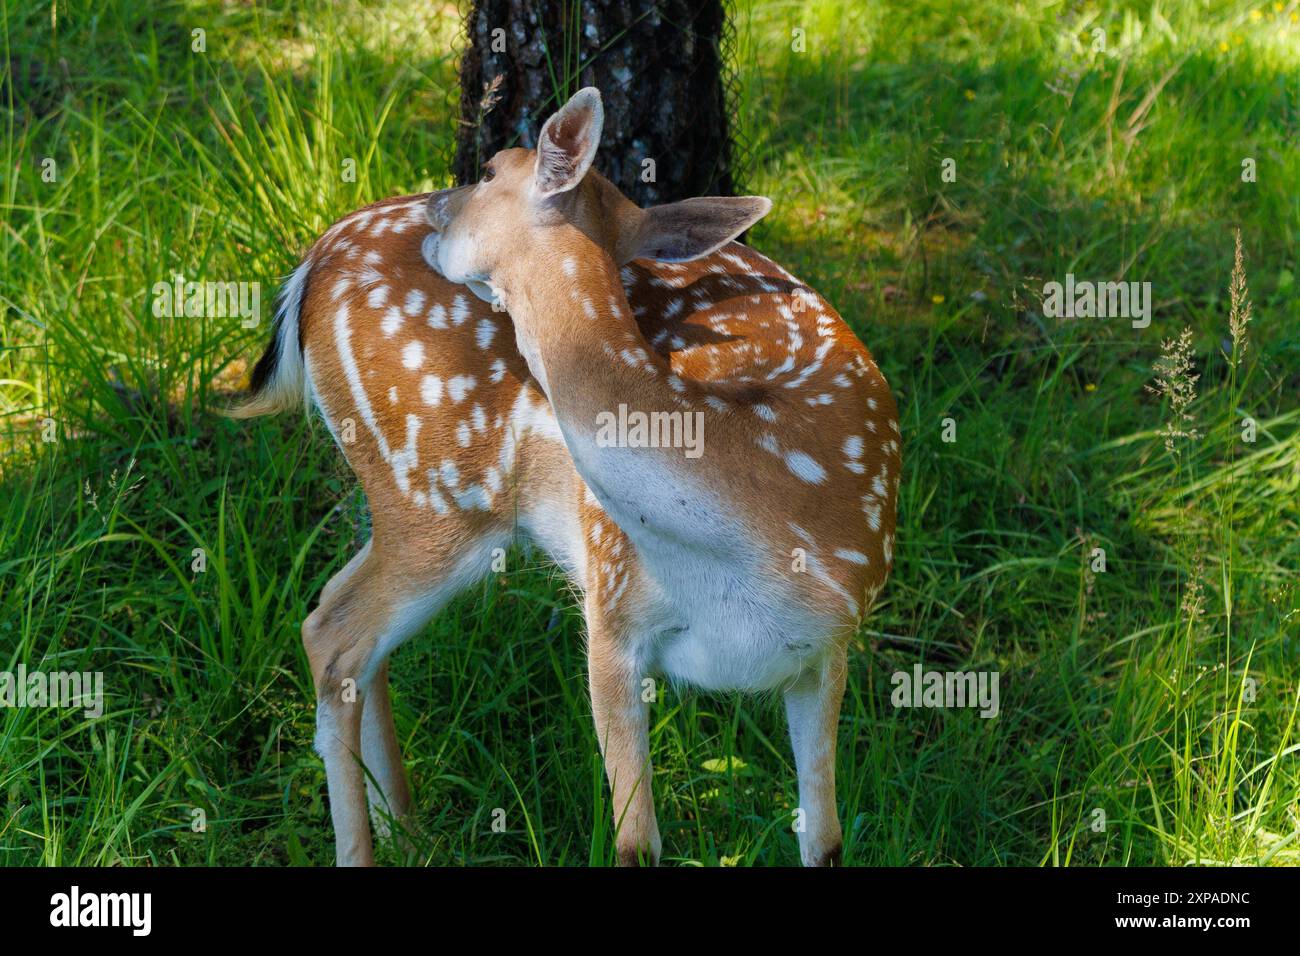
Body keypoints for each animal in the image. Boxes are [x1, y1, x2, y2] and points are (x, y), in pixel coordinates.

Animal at [226, 86, 900, 867]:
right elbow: (636, 843)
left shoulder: (828, 645)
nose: (435, 207)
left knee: (349, 632)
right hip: (432, 495)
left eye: (491, 169)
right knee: (332, 632)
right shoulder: (610, 609)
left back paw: (406, 828)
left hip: (426, 501)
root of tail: (318, 252)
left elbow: (825, 840)